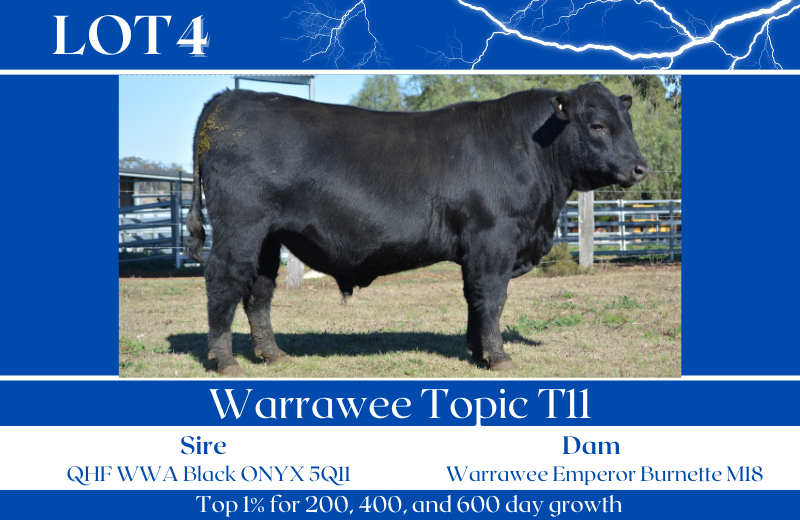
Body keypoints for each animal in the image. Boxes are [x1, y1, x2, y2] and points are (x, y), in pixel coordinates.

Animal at [185, 82, 648, 376]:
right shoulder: (494, 240)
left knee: (258, 292)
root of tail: (228, 98)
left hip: (268, 237)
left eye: (628, 122)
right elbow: (492, 298)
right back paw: (226, 361)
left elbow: (474, 300)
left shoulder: (475, 250)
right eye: (597, 125)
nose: (640, 168)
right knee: (223, 283)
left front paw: (476, 351)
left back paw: (273, 355)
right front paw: (498, 357)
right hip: (240, 229)